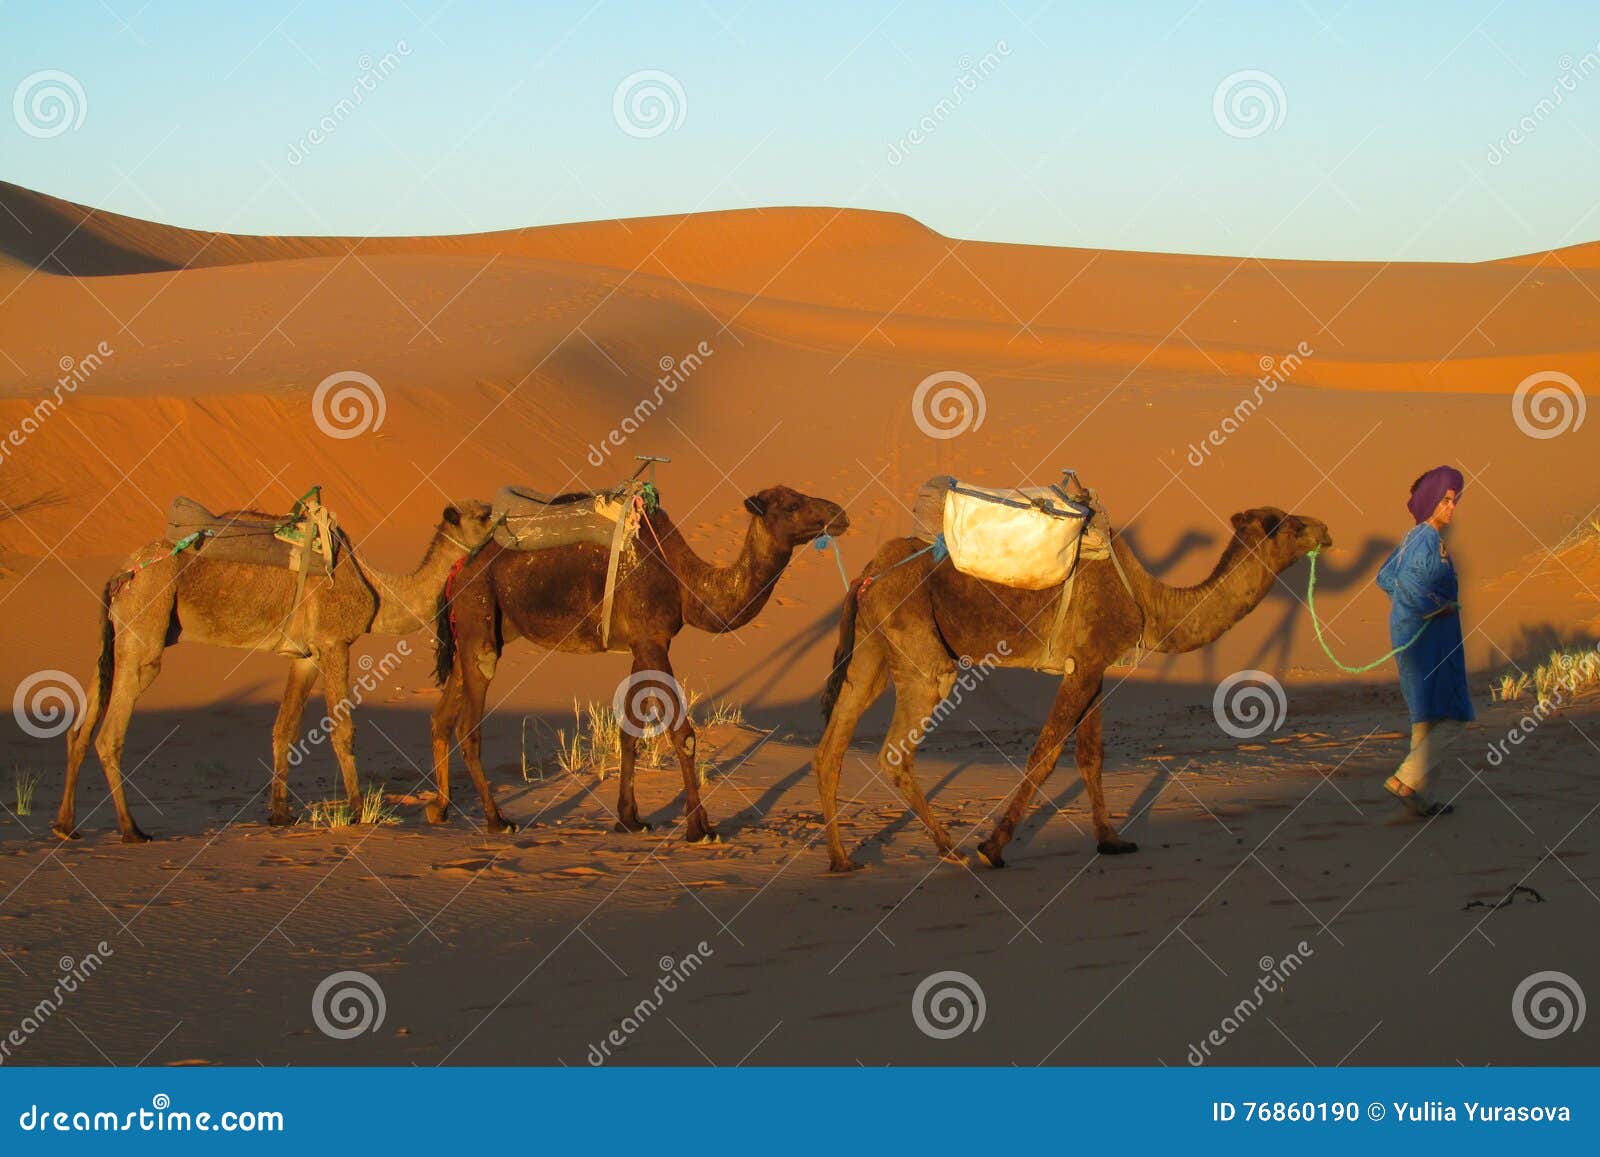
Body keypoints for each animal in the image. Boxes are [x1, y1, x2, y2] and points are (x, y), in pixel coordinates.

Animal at [56, 500, 498, 842]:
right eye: (484, 514)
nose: (507, 520)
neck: (377, 590)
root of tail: (123, 573)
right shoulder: (334, 643)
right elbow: (343, 730)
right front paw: (358, 811)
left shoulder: (304, 655)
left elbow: (284, 727)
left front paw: (280, 814)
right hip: (145, 628)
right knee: (110, 733)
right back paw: (131, 829)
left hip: (115, 638)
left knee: (80, 729)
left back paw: (65, 826)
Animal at [431, 485, 848, 841]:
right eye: (791, 505)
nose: (840, 514)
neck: (683, 580)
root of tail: (457, 571)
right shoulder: (652, 641)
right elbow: (683, 734)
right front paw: (700, 828)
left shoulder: (642, 644)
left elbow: (629, 730)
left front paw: (630, 819)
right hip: (479, 620)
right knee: (468, 724)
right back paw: (497, 820)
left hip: (479, 632)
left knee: (443, 716)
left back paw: (440, 810)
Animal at [812, 499, 1332, 871]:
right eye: (1284, 523)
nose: (1325, 530)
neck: (1150, 602)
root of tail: (867, 573)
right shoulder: (1083, 664)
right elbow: (1044, 756)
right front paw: (992, 847)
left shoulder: (1093, 665)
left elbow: (1090, 757)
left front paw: (1112, 840)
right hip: (917, 645)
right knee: (895, 749)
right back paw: (950, 849)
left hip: (874, 650)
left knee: (832, 744)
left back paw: (841, 859)